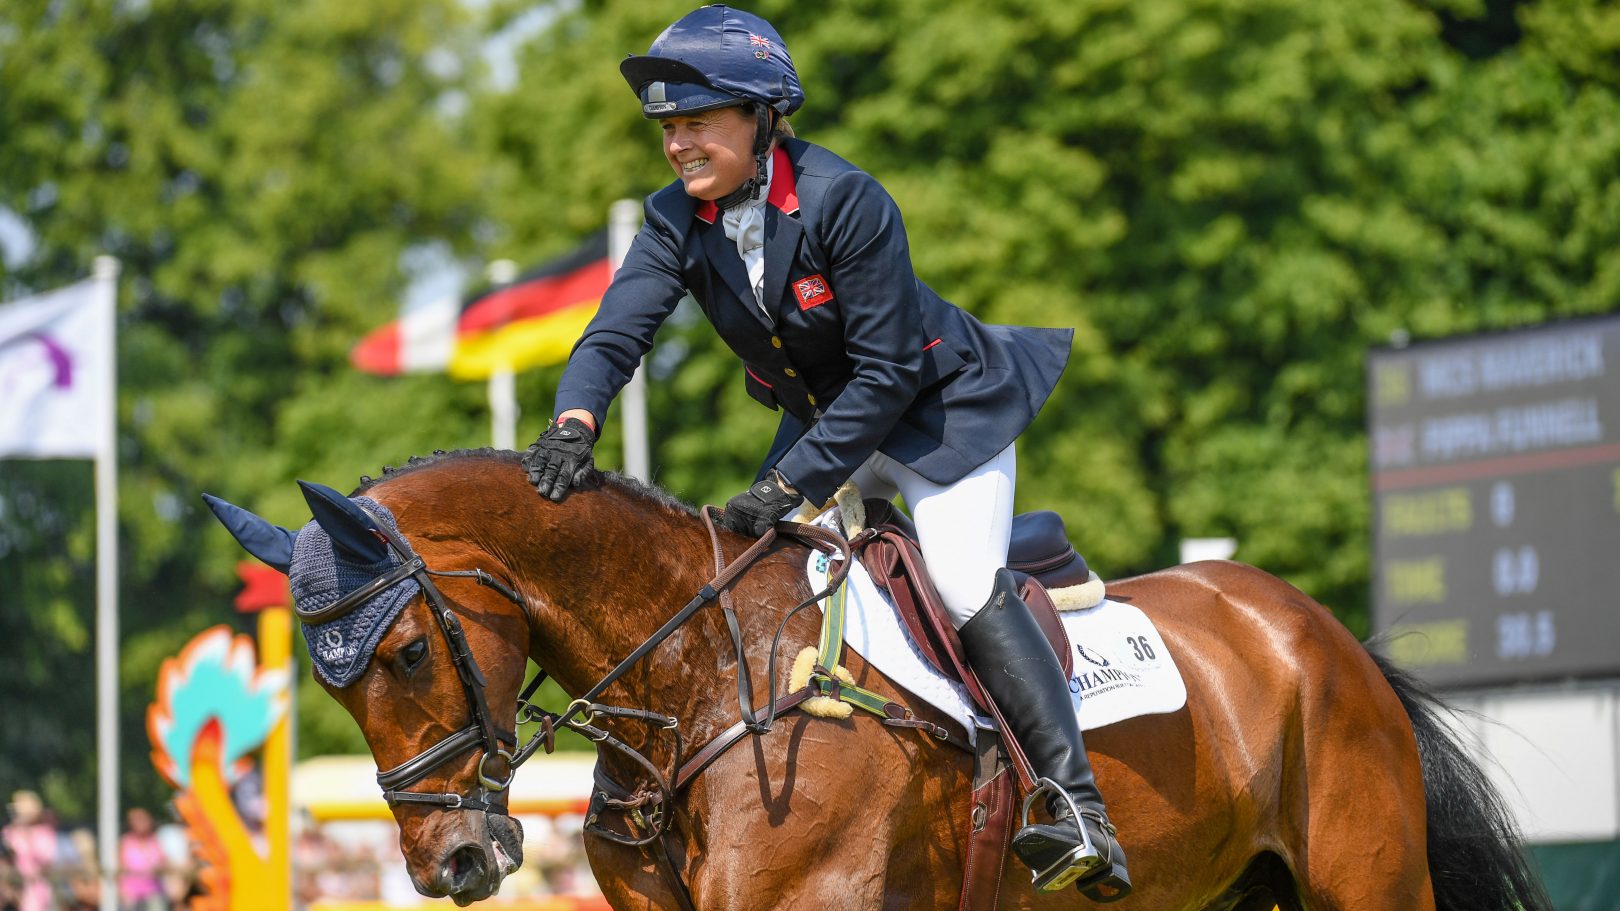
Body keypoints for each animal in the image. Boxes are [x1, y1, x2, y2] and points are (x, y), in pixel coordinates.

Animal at [206, 449, 1551, 910]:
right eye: (332, 688)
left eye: (408, 651)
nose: (455, 861)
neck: (701, 675)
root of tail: (1317, 631)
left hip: (1363, 878)